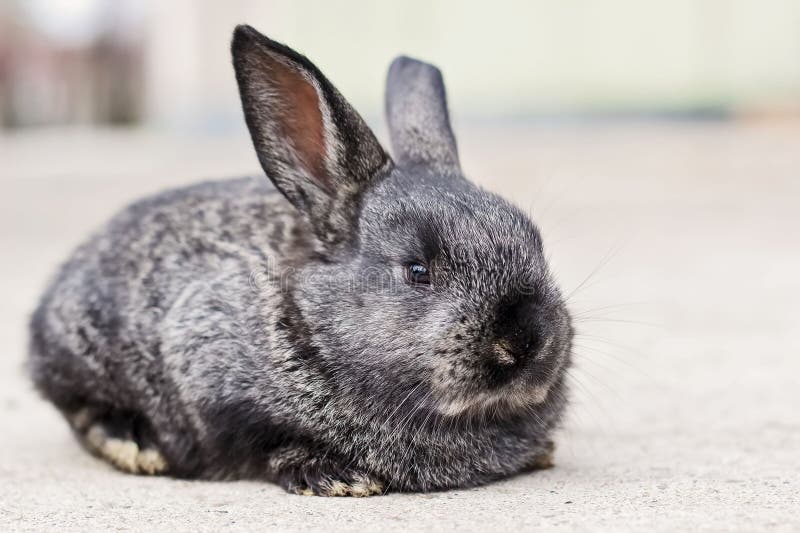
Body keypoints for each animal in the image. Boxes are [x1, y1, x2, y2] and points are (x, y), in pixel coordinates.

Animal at [28, 24, 573, 496]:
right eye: (416, 270)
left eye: (534, 241)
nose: (524, 340)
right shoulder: (208, 377)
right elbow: (264, 442)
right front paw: (336, 477)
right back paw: (135, 444)